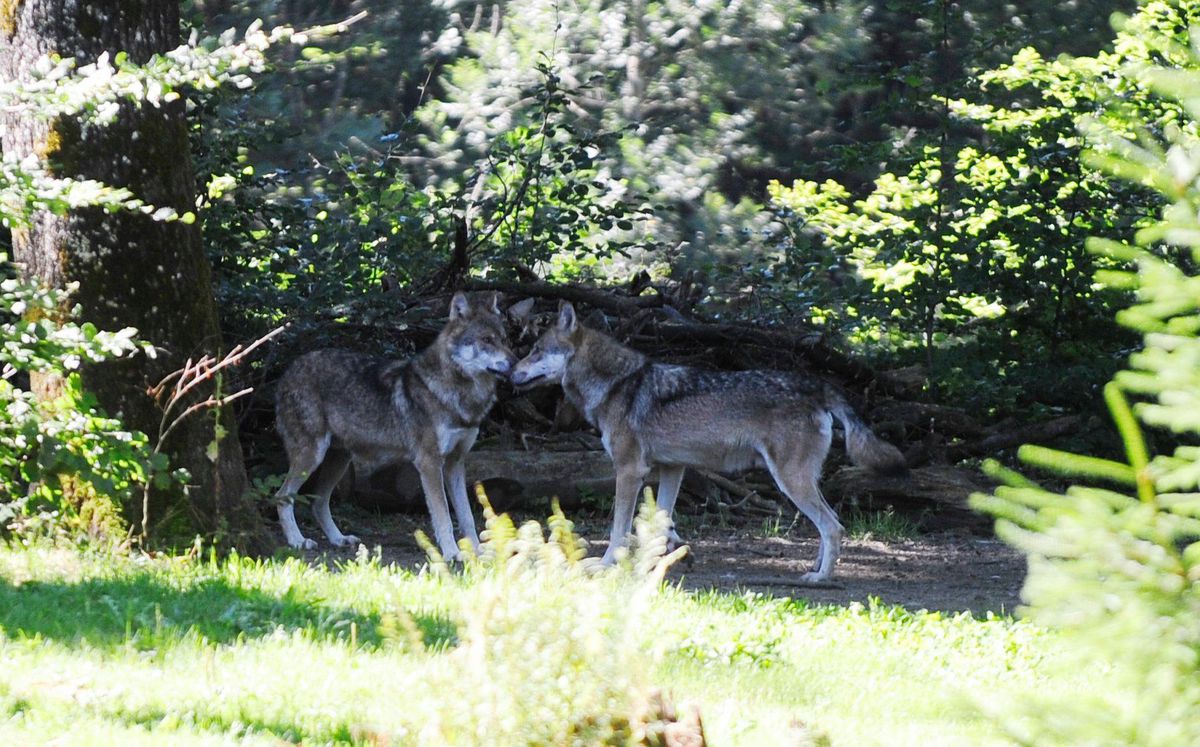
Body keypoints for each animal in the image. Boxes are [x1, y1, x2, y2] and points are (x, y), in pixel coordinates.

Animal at [273, 292, 516, 558]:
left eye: (504, 339)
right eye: (486, 340)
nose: (515, 362)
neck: (459, 394)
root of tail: (288, 371)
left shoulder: (456, 463)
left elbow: (466, 516)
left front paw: (478, 552)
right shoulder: (429, 463)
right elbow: (443, 516)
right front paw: (452, 553)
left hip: (339, 460)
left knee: (319, 502)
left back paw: (339, 539)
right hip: (311, 457)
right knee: (282, 496)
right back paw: (297, 540)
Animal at [509, 302, 906, 582]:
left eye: (537, 350)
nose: (511, 371)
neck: (619, 384)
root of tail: (818, 385)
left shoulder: (629, 470)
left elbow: (617, 529)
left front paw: (608, 565)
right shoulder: (673, 468)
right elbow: (662, 521)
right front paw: (661, 559)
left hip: (789, 481)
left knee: (832, 526)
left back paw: (821, 577)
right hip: (801, 481)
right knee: (830, 524)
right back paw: (815, 567)